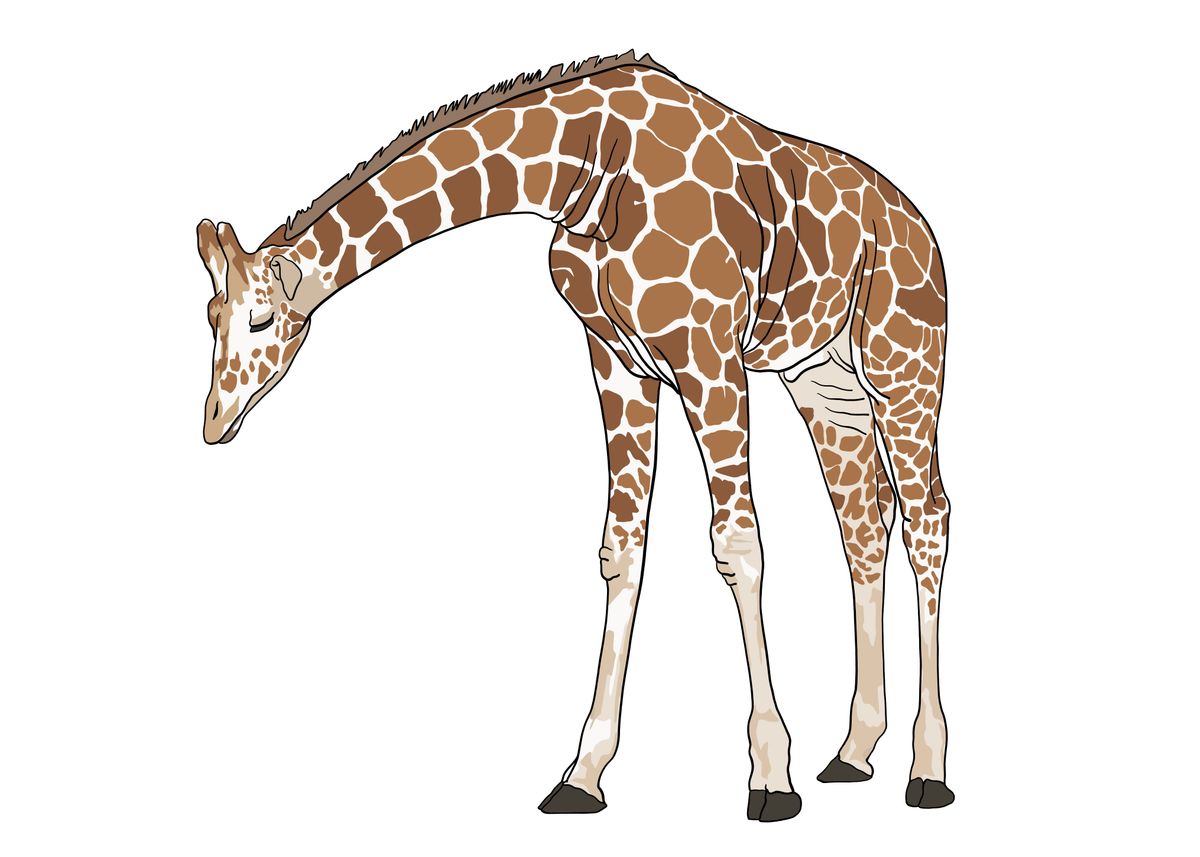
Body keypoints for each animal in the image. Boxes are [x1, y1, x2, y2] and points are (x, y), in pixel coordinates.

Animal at [198, 52, 954, 816]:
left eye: (260, 320)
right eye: (209, 316)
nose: (213, 422)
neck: (584, 171)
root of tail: (921, 227)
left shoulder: (708, 355)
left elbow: (738, 545)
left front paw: (770, 776)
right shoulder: (619, 361)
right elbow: (622, 551)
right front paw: (582, 774)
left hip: (903, 365)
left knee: (928, 518)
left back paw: (927, 770)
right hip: (821, 378)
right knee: (863, 523)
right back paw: (854, 752)